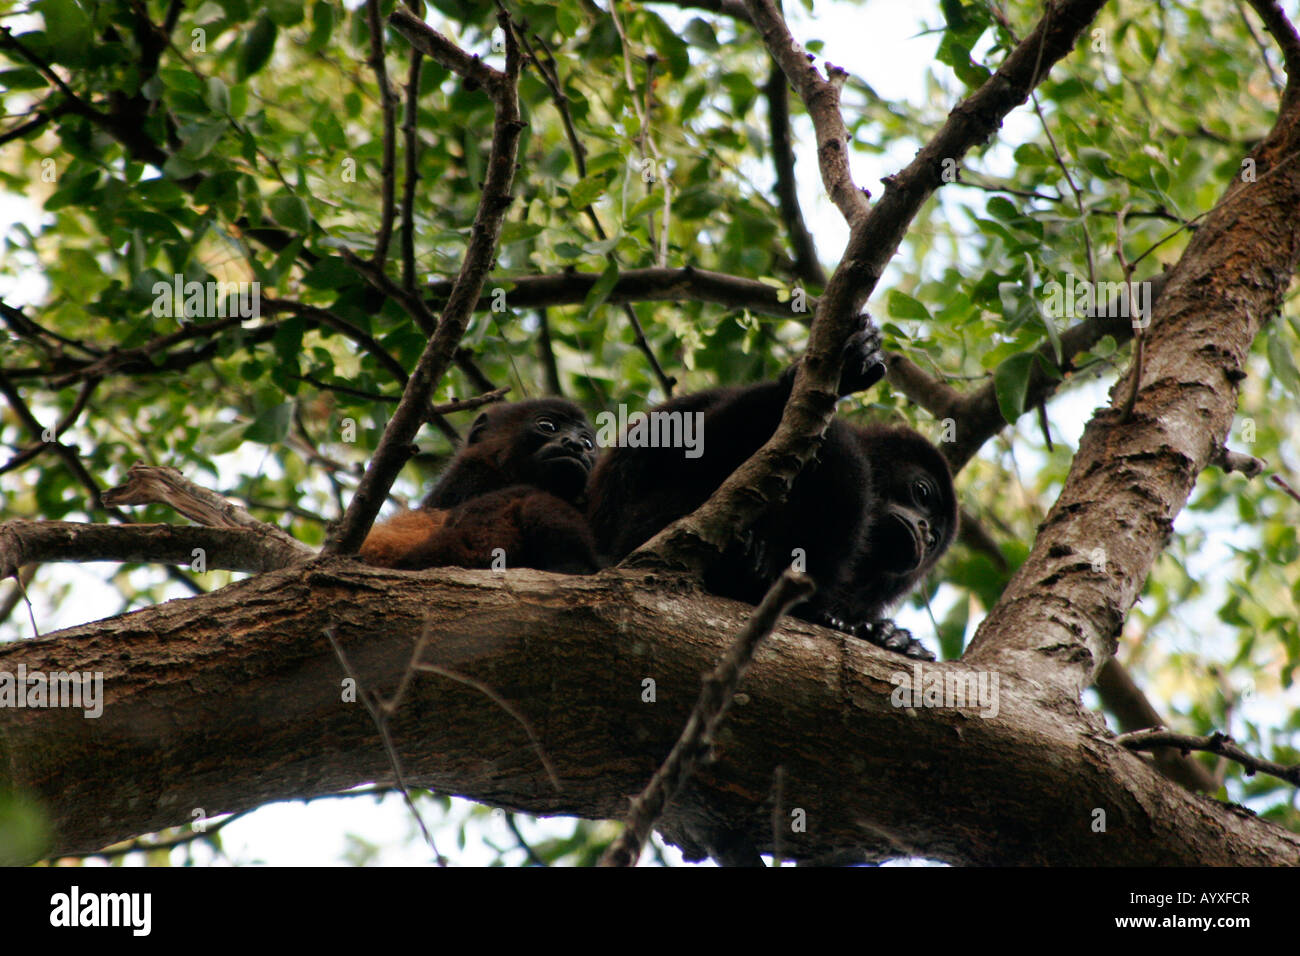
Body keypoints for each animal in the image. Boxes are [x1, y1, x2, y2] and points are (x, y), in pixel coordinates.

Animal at [586, 319, 956, 659]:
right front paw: (835, 368)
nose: (924, 529)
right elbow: (698, 447)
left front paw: (892, 636)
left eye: (934, 538)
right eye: (922, 492)